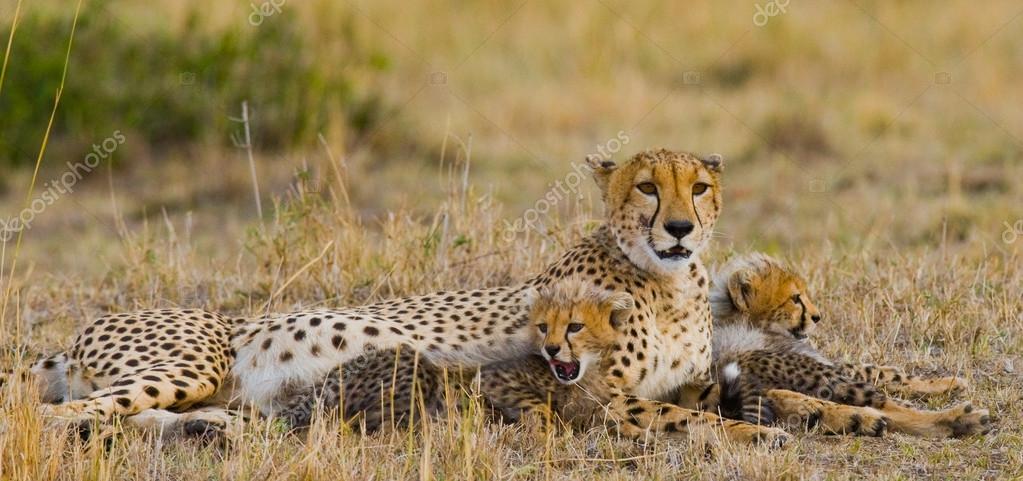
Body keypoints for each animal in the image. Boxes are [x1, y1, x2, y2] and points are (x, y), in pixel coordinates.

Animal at [19, 149, 789, 446]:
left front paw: (777, 415)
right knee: (55, 415)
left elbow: (714, 399)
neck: (668, 284)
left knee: (137, 416)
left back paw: (214, 432)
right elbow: (694, 419)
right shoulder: (603, 396)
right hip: (191, 360)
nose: (680, 228)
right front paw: (762, 433)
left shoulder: (683, 379)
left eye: (698, 187)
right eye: (648, 187)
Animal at [675, 253, 993, 438]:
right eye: (795, 298)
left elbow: (878, 370)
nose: (817, 316)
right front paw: (946, 385)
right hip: (829, 383)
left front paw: (945, 382)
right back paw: (961, 420)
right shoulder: (826, 369)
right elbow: (879, 377)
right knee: (889, 409)